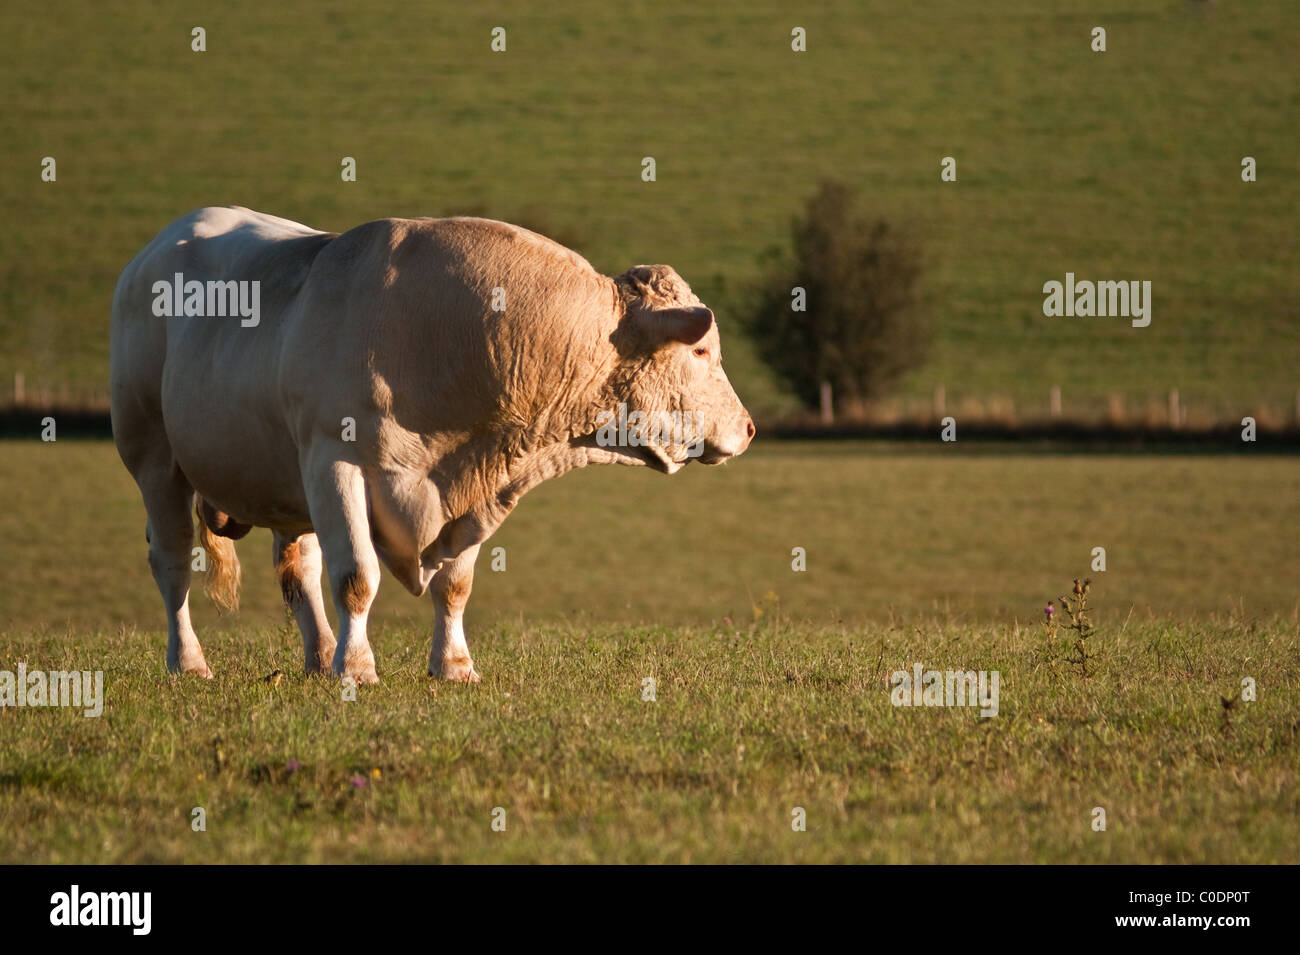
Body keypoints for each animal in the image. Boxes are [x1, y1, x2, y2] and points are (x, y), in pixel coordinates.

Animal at [110, 207, 754, 684]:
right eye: (702, 351)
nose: (748, 428)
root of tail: (165, 240)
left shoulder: (476, 491)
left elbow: (455, 584)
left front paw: (453, 666)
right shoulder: (334, 461)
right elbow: (356, 576)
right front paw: (358, 671)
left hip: (281, 479)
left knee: (298, 570)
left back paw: (318, 658)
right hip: (153, 456)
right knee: (172, 562)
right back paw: (190, 663)